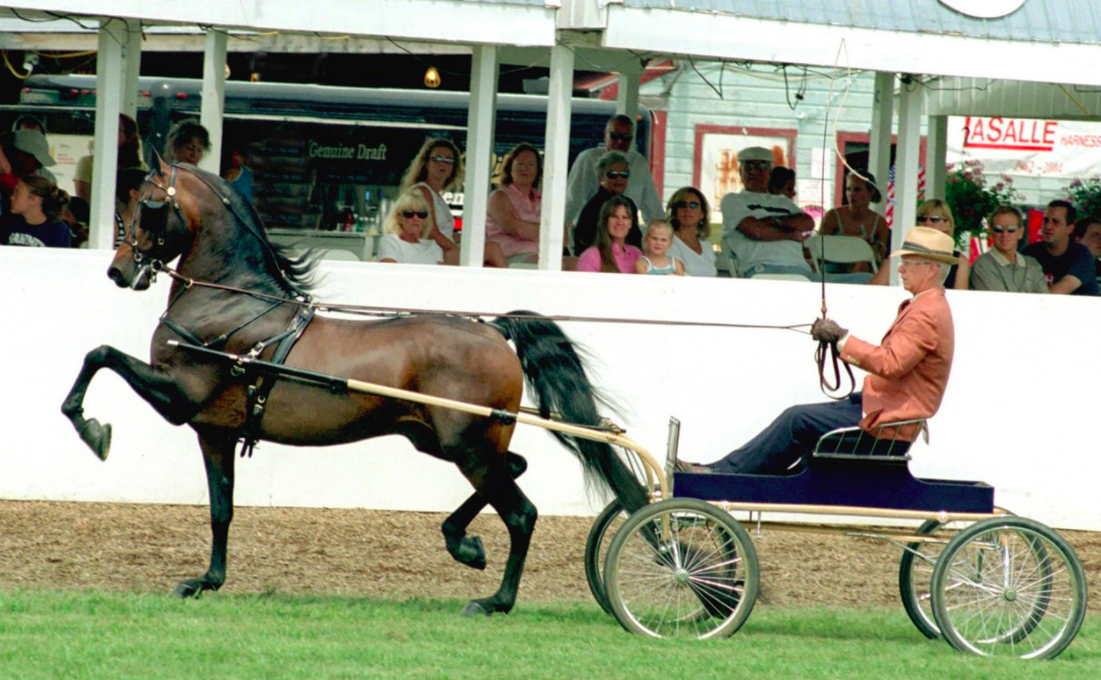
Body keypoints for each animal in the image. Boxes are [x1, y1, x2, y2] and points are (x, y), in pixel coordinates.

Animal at [60, 160, 649, 616]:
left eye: (148, 205)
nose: (119, 270)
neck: (231, 302)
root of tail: (492, 329)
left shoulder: (179, 395)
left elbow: (100, 356)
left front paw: (91, 429)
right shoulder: (214, 431)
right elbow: (221, 509)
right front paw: (207, 581)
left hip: (467, 446)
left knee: (522, 513)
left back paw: (494, 600)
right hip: (448, 441)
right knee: (516, 470)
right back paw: (464, 544)